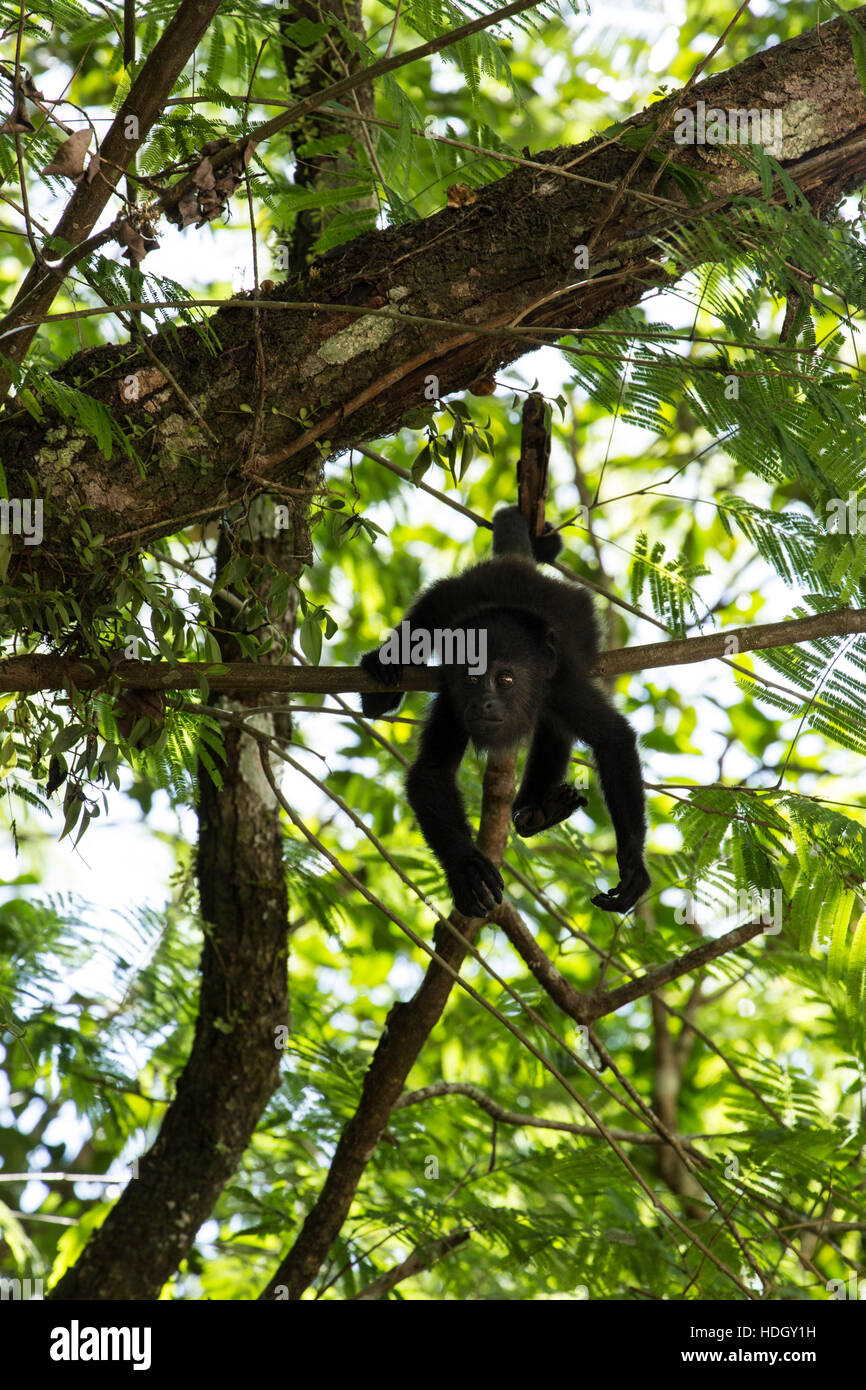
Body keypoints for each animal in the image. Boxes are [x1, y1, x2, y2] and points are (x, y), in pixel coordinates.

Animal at [359, 507, 650, 918]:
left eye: (505, 679)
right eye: (471, 678)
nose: (483, 703)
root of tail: (518, 565)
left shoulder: (562, 686)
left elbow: (613, 738)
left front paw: (633, 865)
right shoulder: (453, 700)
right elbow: (431, 772)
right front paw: (465, 867)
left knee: (553, 729)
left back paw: (535, 812)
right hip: (458, 590)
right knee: (428, 613)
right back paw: (384, 669)